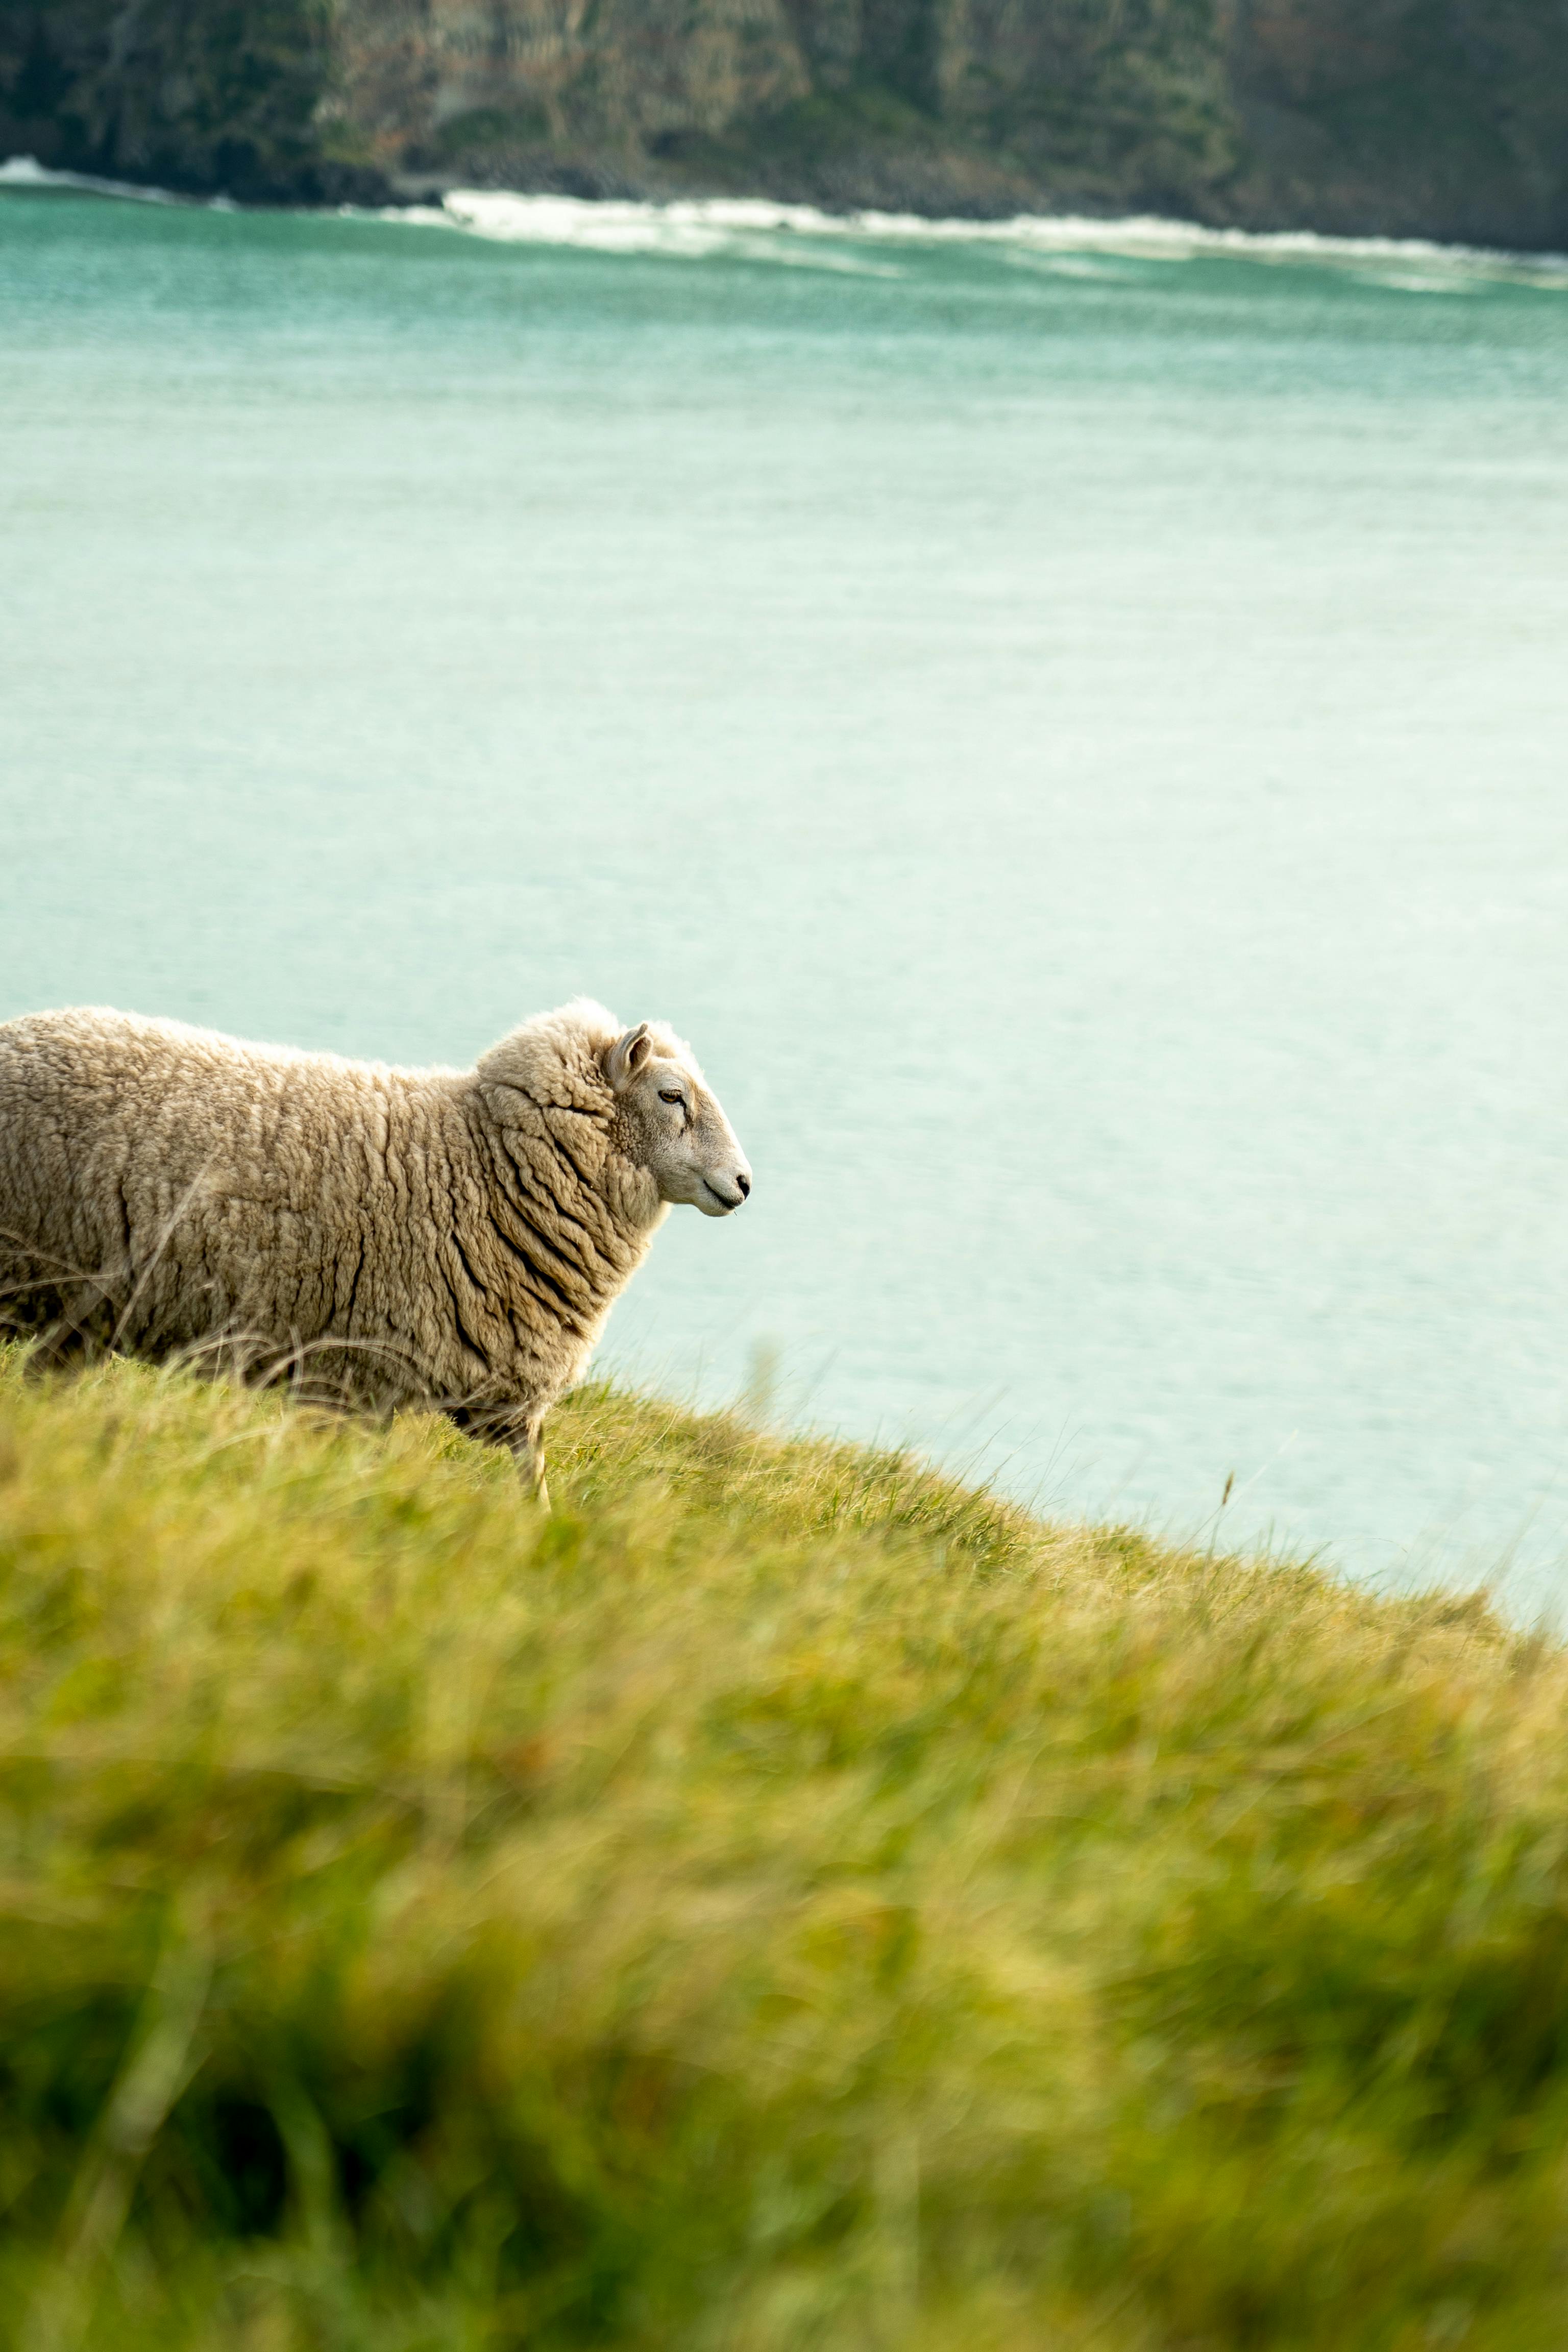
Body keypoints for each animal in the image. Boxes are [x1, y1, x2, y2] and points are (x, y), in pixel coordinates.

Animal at [0, 998, 752, 1500]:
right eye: (672, 1096)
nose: (744, 1185)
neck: (479, 1162)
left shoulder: (491, 1393)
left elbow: (530, 1475)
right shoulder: (360, 1374)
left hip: (71, 1313)